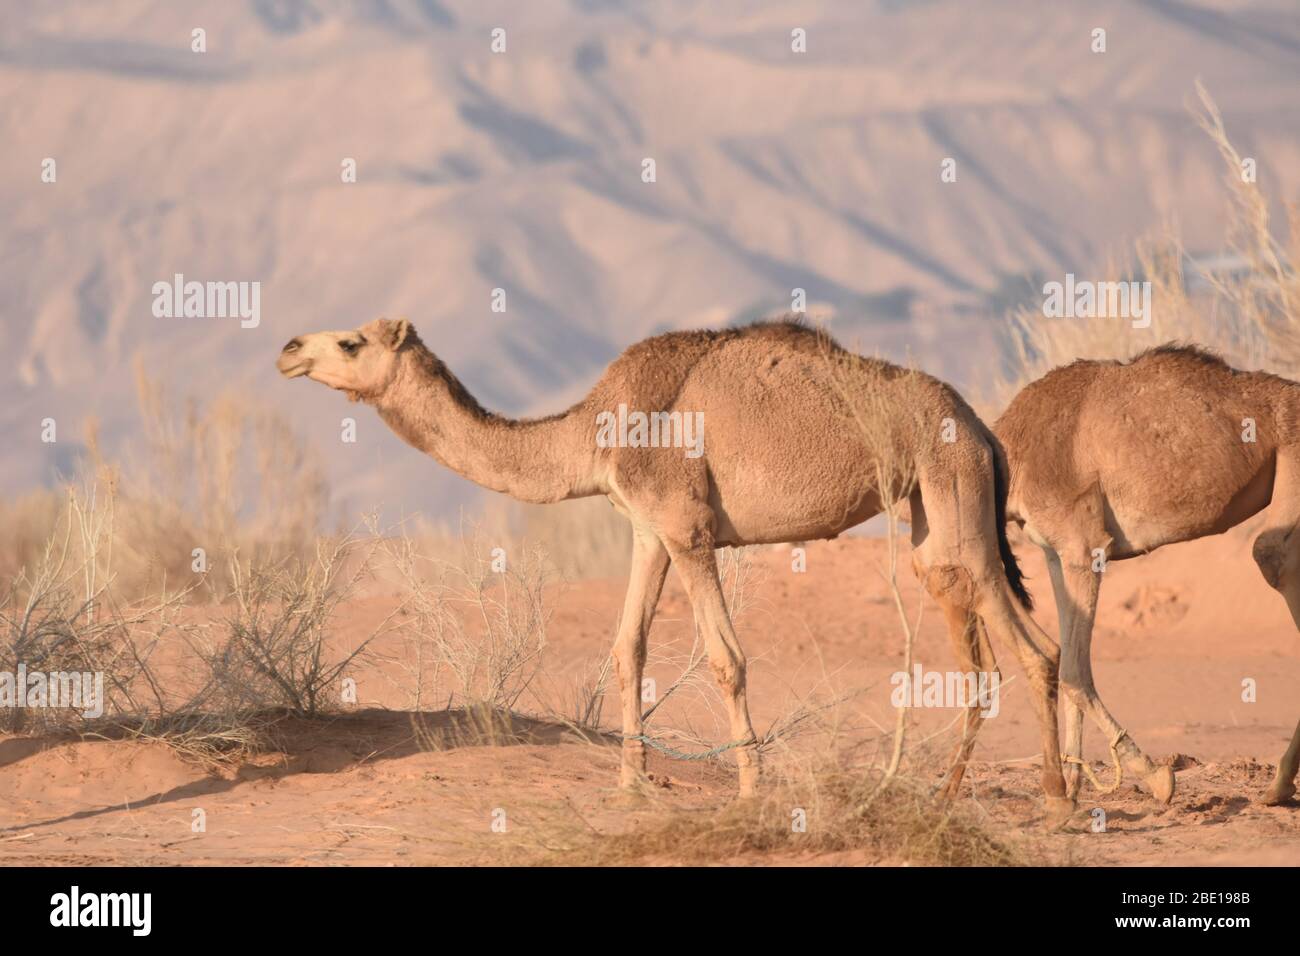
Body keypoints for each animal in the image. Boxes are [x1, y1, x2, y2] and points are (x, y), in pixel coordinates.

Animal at [276, 316, 1073, 819]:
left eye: (351, 340)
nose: (287, 350)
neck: (593, 431)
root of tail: (982, 427)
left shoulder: (687, 528)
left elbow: (725, 657)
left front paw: (750, 792)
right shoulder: (647, 531)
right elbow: (626, 648)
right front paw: (632, 785)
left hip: (957, 488)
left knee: (1036, 648)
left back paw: (1059, 800)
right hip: (928, 513)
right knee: (973, 647)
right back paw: (945, 796)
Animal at [995, 344, 1300, 807]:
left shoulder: (1084, 546)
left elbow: (1074, 672)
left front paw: (1156, 777)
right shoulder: (1055, 552)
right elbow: (1066, 660)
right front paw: (1070, 792)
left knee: (1273, 556)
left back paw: (1279, 785)